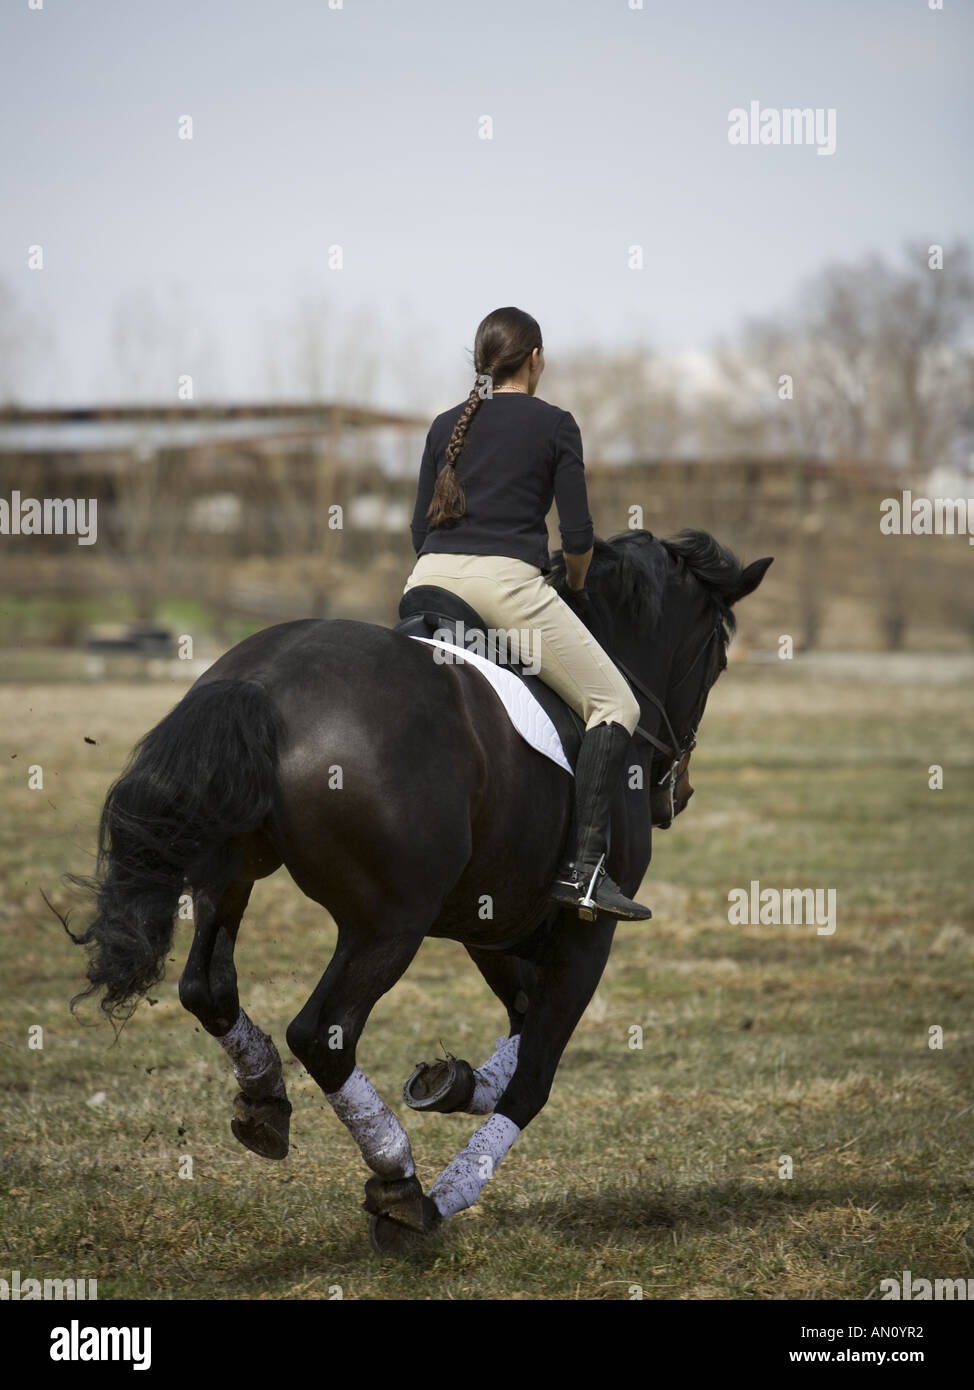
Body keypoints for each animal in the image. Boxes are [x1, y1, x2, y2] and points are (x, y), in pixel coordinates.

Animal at [67, 528, 771, 1254]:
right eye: (718, 658)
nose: (677, 794)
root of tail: (261, 683)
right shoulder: (586, 931)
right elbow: (533, 1074)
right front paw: (449, 1186)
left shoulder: (496, 924)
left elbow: (521, 1023)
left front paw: (454, 1083)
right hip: (388, 925)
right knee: (323, 1034)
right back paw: (399, 1185)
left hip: (228, 877)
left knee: (207, 989)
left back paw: (265, 1098)